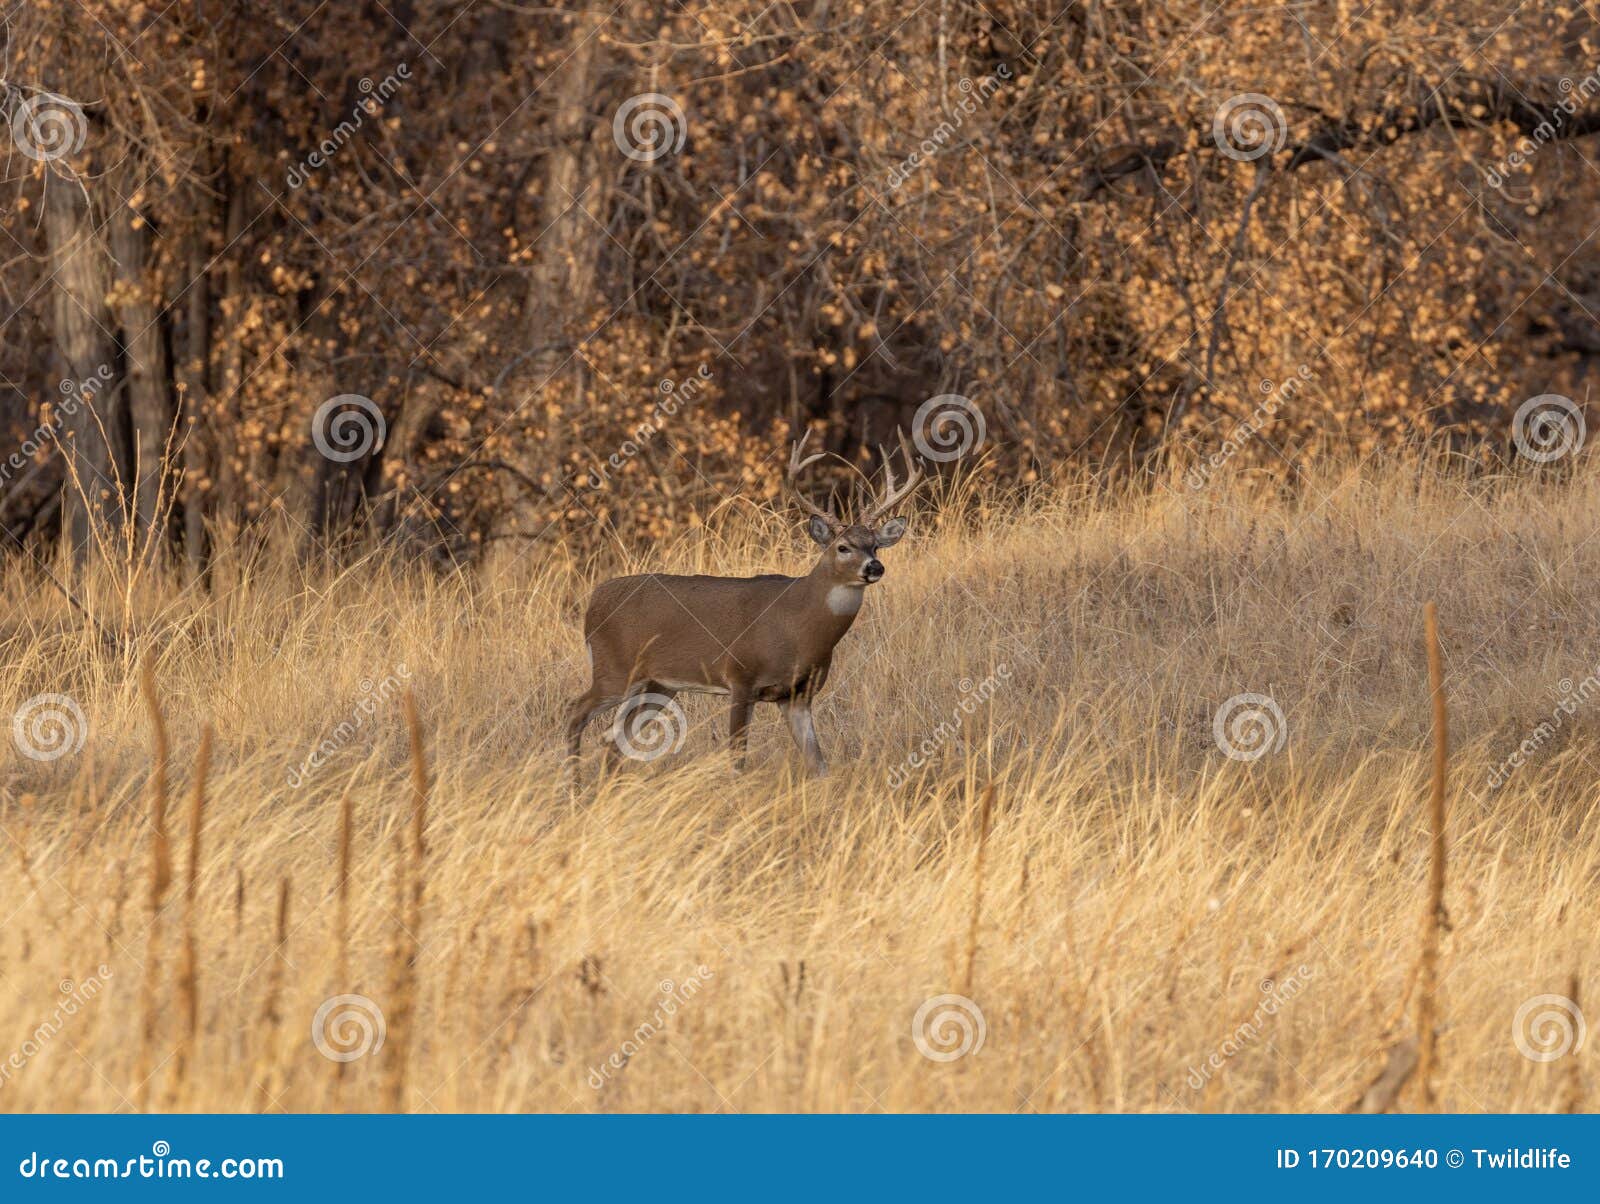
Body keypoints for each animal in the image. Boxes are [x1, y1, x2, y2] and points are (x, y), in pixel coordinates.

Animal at [565, 431, 924, 777]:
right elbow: (737, 762)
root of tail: (594, 598)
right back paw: (574, 788)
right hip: (615, 668)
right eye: (843, 547)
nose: (874, 567)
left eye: (876, 545)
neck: (799, 627)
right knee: (575, 713)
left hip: (658, 684)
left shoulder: (797, 696)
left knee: (613, 739)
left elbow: (819, 764)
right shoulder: (740, 678)